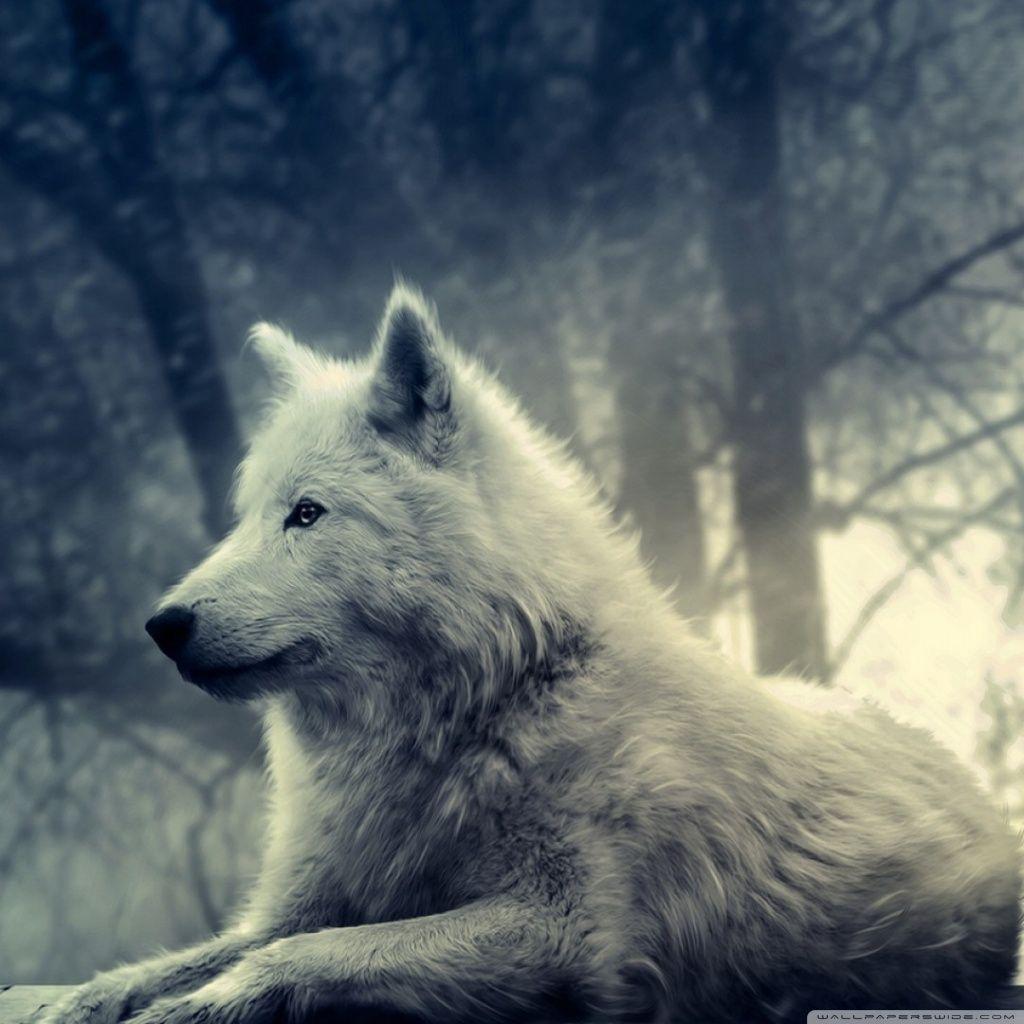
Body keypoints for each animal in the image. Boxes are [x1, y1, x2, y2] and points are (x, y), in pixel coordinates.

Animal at [45, 285, 1020, 1024]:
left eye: (308, 513)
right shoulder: (300, 899)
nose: (162, 624)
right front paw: (87, 999)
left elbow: (307, 954)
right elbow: (188, 957)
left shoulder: (564, 932)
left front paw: (199, 1006)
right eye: (246, 516)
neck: (489, 701)